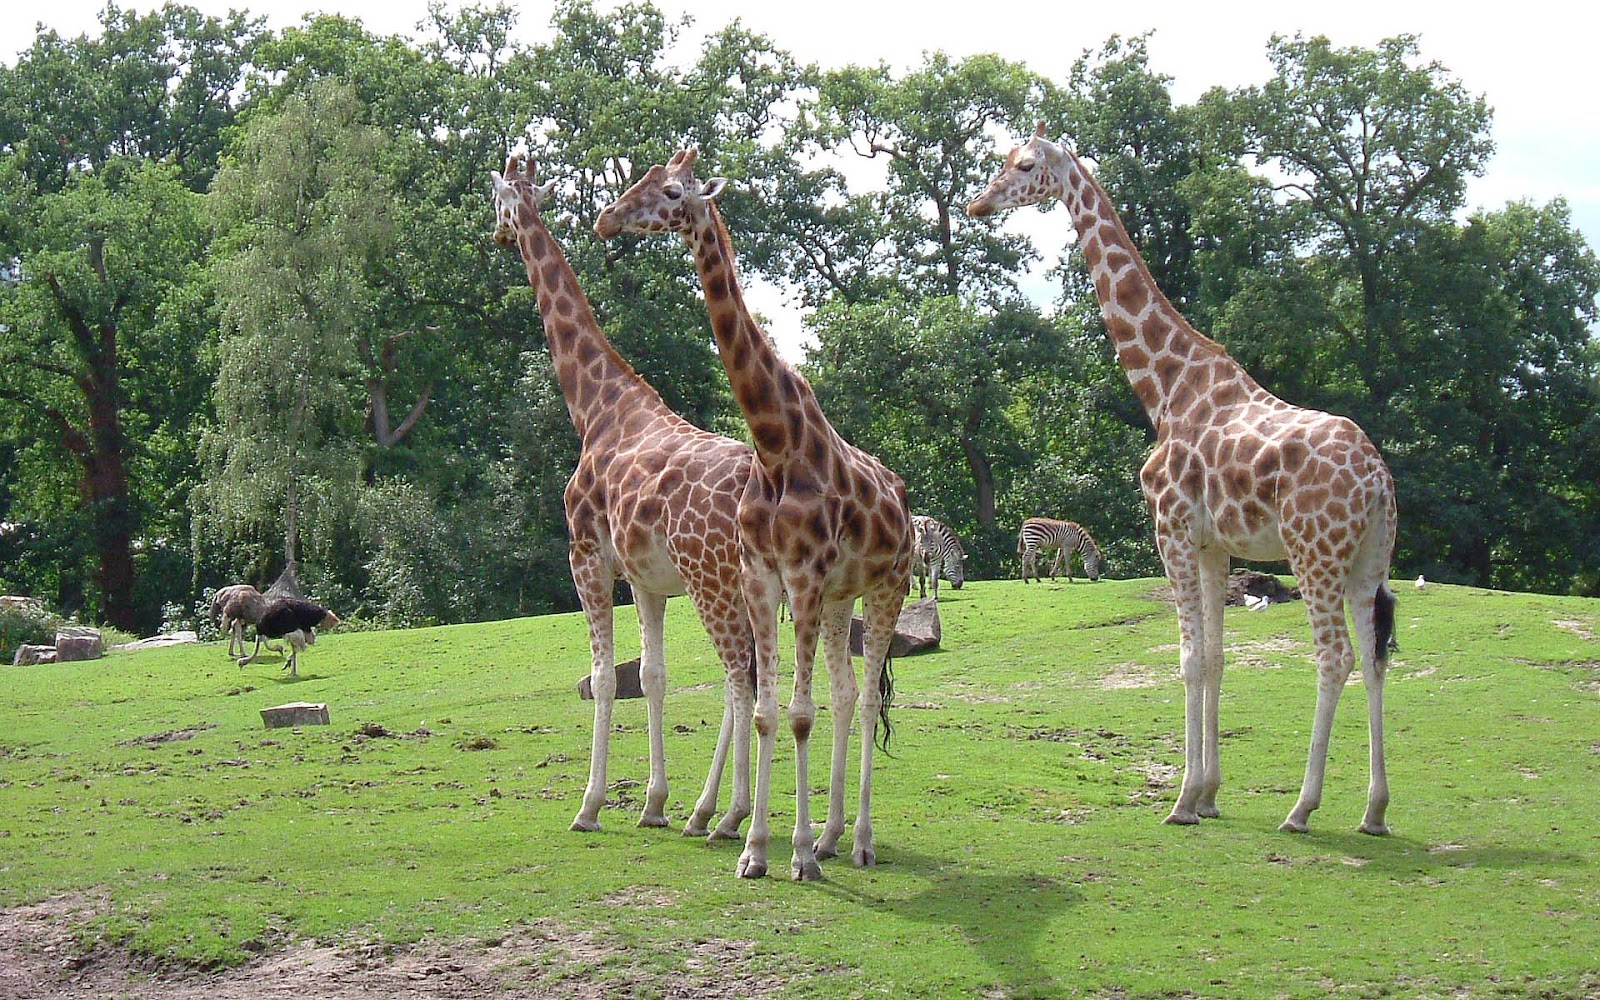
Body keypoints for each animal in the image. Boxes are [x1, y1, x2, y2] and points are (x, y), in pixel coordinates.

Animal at [489, 156, 757, 840]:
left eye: (498, 201)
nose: (499, 234)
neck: (594, 408)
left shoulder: (585, 557)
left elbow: (606, 679)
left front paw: (589, 806)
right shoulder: (644, 579)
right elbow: (655, 677)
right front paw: (655, 803)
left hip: (714, 582)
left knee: (741, 677)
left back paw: (730, 816)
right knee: (747, 674)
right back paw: (711, 813)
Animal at [596, 148, 915, 880]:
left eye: (673, 191)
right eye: (642, 179)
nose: (606, 219)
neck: (774, 444)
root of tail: (907, 503)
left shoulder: (800, 577)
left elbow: (797, 714)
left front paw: (792, 854)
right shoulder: (764, 576)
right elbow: (770, 712)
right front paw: (758, 848)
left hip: (888, 586)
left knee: (865, 702)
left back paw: (858, 842)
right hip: (840, 599)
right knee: (848, 694)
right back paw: (830, 835)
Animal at [968, 125, 1398, 835]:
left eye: (1025, 166)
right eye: (1002, 162)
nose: (978, 204)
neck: (1164, 389)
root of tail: (1378, 481)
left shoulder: (1169, 529)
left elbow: (1189, 659)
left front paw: (1181, 800)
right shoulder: (1214, 546)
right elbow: (1216, 659)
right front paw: (1208, 795)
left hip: (1314, 553)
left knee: (1333, 656)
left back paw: (1302, 808)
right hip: (1369, 560)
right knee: (1374, 655)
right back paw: (1375, 809)